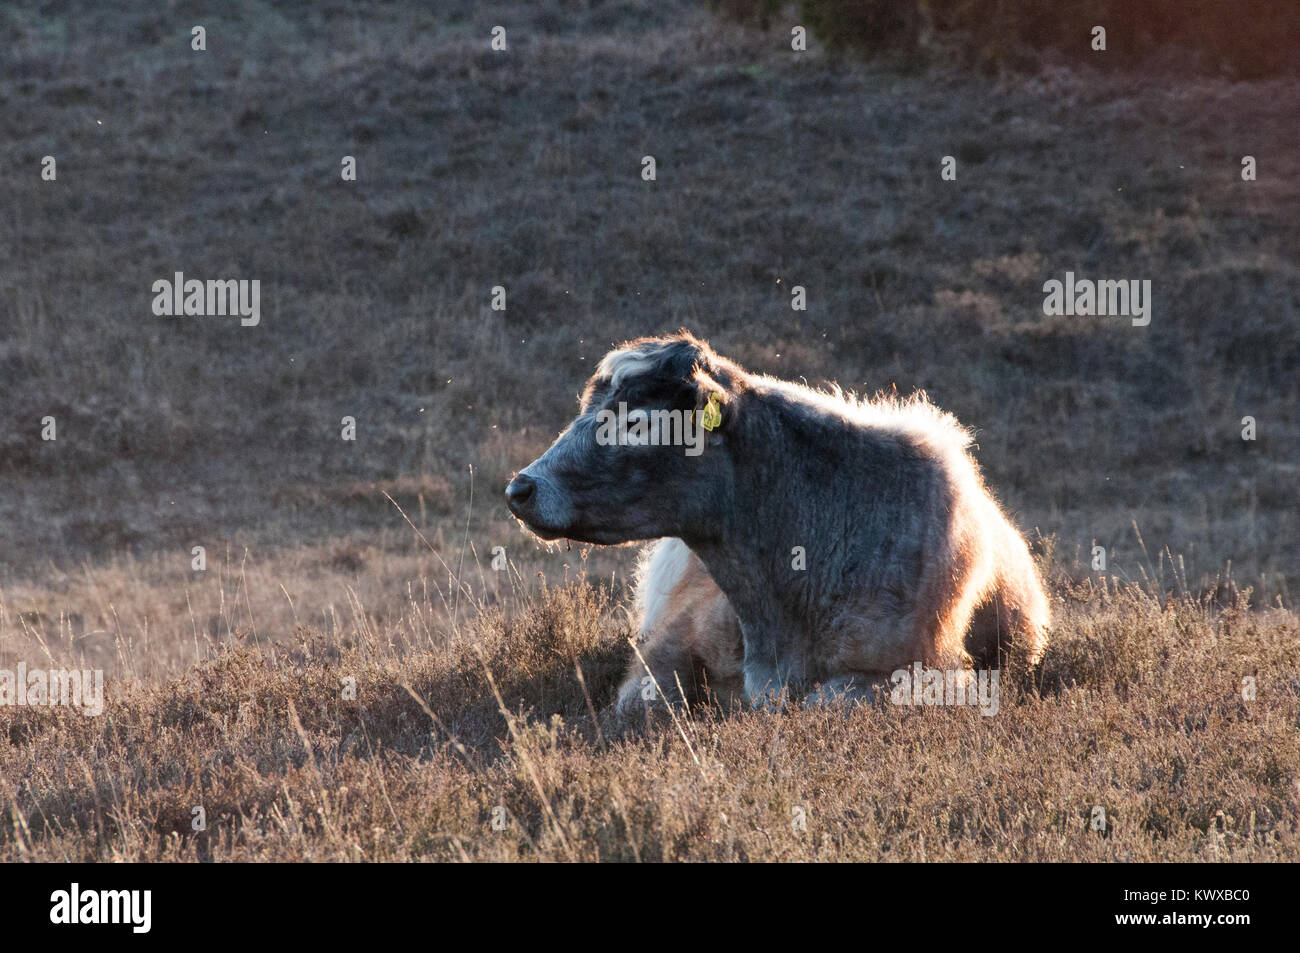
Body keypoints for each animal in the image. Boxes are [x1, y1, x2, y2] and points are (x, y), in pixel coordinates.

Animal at [505, 331, 1050, 716]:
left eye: (636, 422)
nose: (521, 489)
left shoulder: (931, 673)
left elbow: (827, 701)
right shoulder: (668, 641)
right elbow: (641, 701)